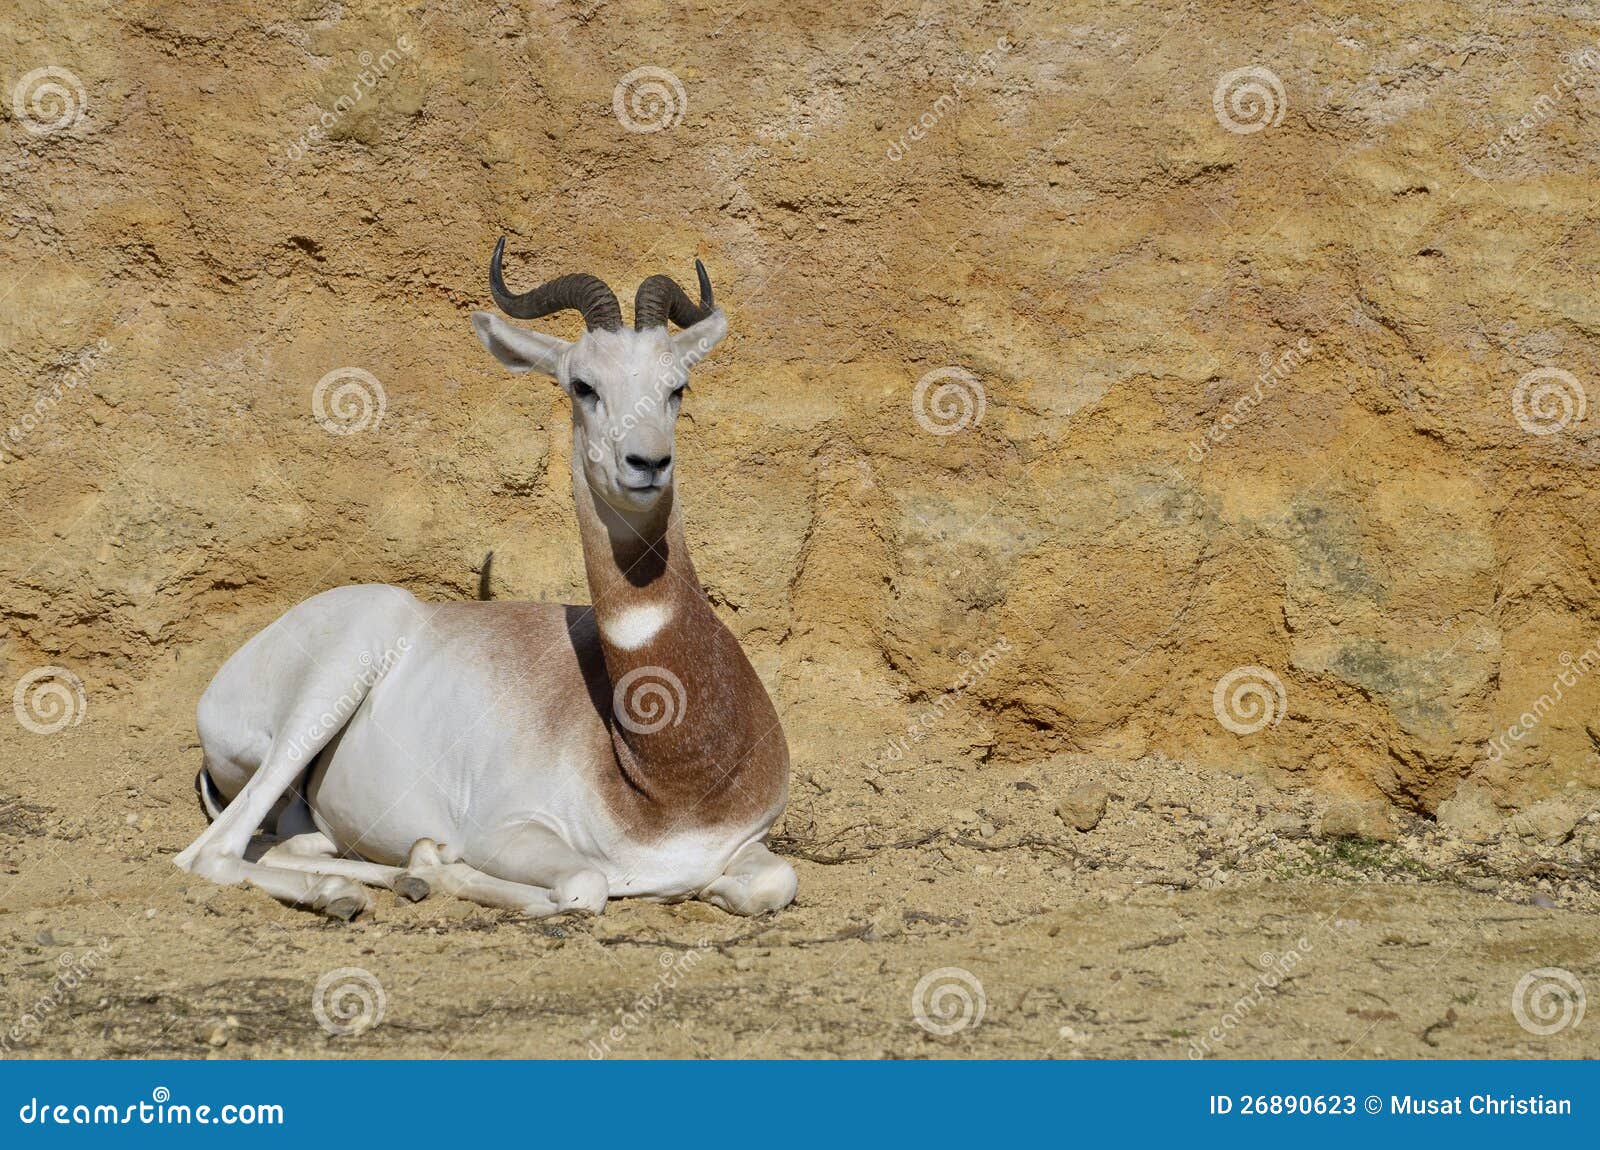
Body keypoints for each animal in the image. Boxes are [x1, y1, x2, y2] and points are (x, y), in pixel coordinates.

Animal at [172, 240, 796, 920]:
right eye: (583, 385)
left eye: (677, 386)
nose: (648, 462)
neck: (658, 778)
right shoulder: (506, 833)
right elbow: (585, 885)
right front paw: (434, 863)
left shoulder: (749, 842)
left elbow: (777, 880)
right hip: (335, 679)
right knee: (209, 854)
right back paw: (351, 889)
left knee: (285, 846)